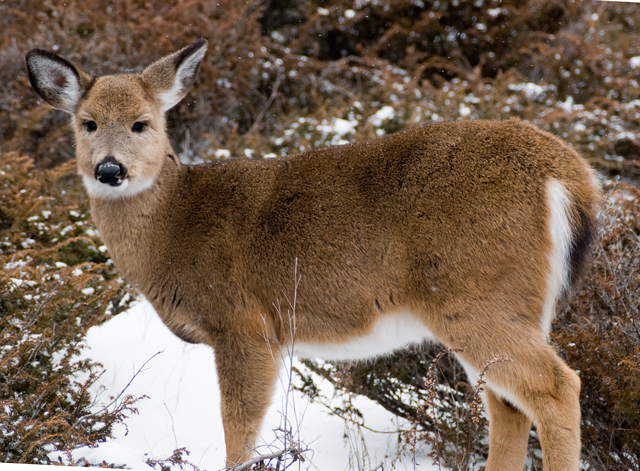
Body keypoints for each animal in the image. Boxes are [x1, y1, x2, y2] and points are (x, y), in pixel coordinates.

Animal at [26, 39, 603, 470]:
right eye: (87, 123)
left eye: (142, 122)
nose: (109, 170)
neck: (175, 227)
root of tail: (570, 176)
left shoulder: (244, 324)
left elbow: (239, 432)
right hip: (498, 306)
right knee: (507, 406)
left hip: (476, 292)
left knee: (555, 387)